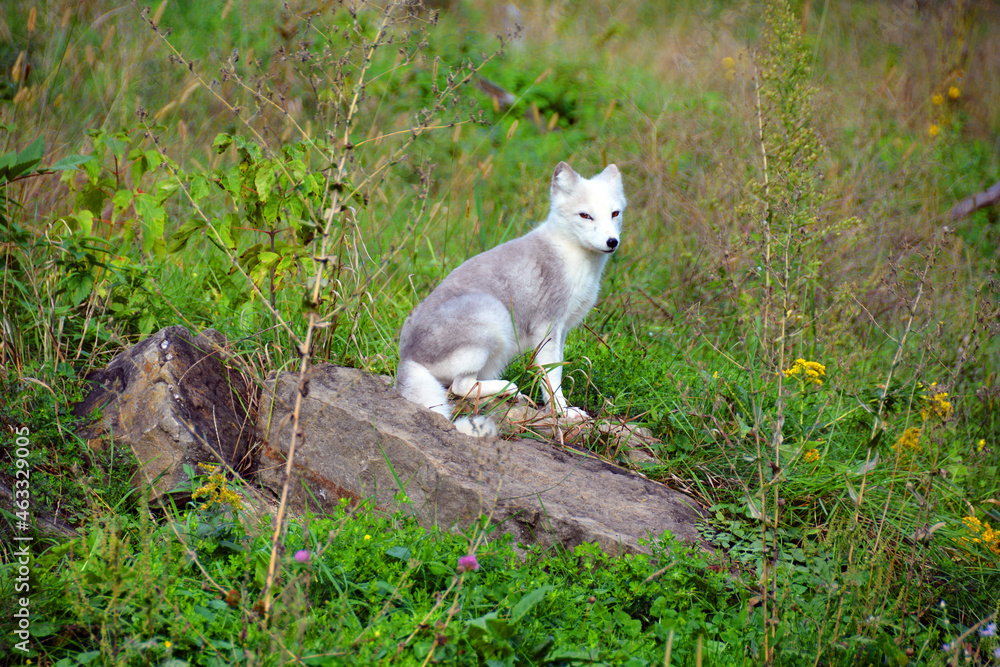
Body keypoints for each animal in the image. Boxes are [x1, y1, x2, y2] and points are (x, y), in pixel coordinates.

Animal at [396, 162, 626, 437]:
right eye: (585, 215)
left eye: (615, 213)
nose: (612, 242)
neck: (574, 255)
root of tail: (408, 357)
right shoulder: (547, 325)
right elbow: (552, 375)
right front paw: (563, 411)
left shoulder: (562, 329)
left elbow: (556, 367)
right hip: (493, 316)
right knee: (459, 386)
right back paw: (509, 388)